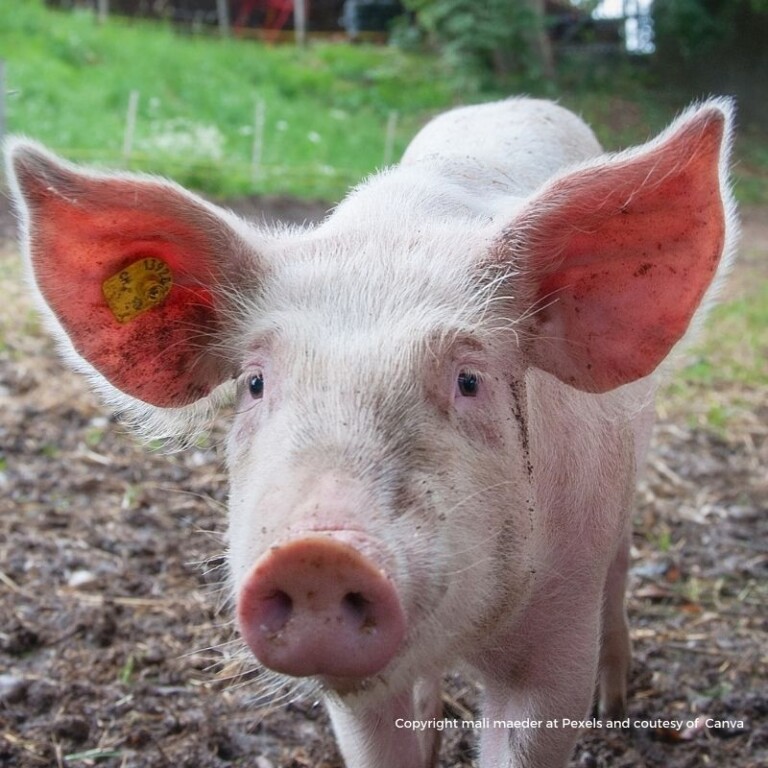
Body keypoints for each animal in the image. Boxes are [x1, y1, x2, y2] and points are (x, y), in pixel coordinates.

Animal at [5, 96, 736, 768]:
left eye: (469, 380)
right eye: (255, 383)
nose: (318, 555)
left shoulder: (559, 633)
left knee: (620, 570)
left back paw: (617, 705)